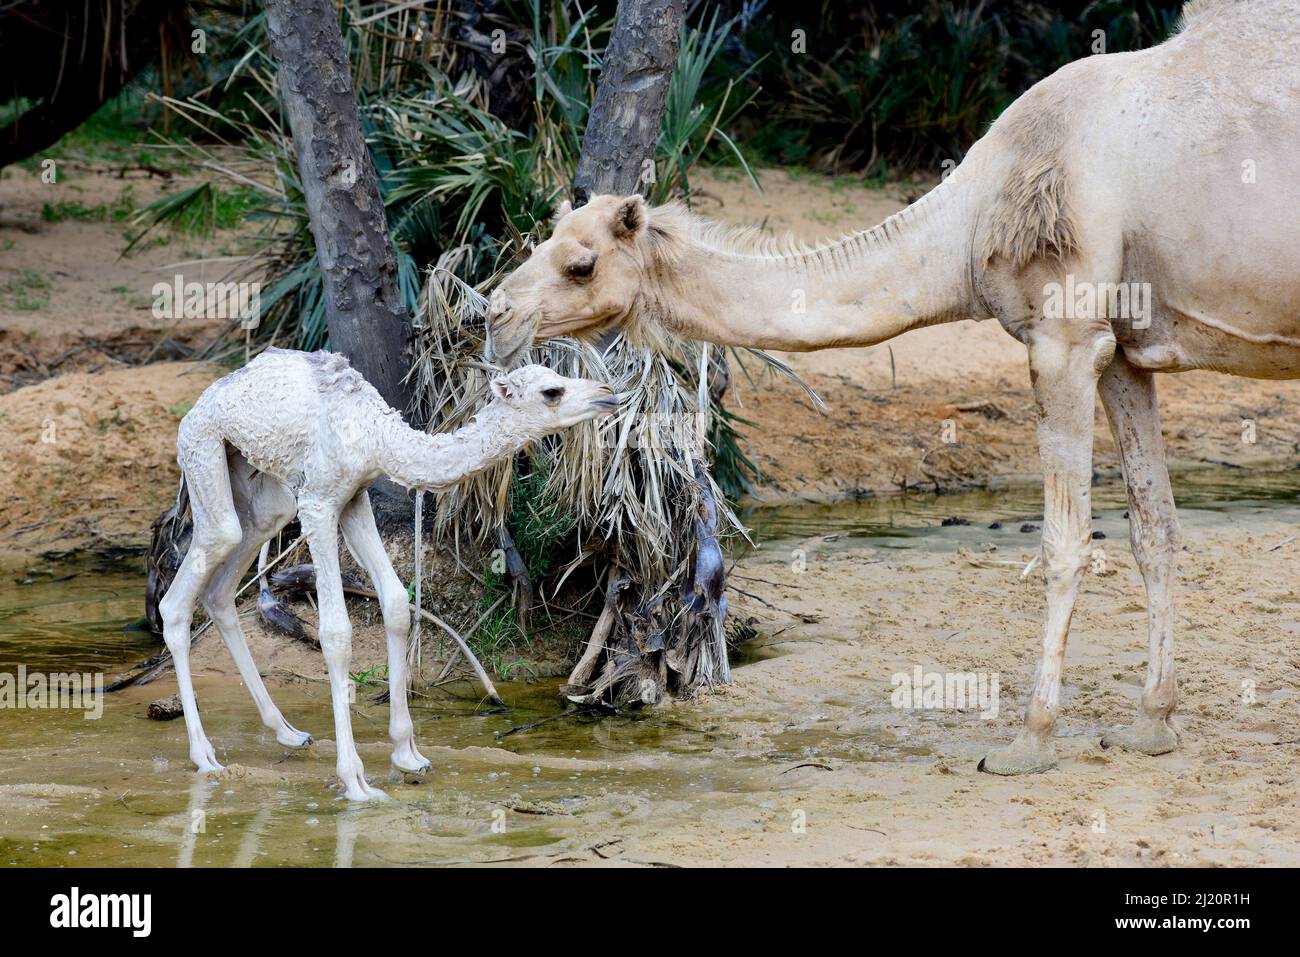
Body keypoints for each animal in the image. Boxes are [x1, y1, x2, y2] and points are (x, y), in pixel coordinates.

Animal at [160, 348, 616, 800]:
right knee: (183, 590)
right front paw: (356, 781)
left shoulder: (354, 496)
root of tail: (198, 406)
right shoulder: (319, 502)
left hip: (265, 495)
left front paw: (408, 756)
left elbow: (396, 603)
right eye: (552, 391)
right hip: (204, 452)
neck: (375, 436)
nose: (608, 394)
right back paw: (205, 757)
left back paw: (288, 733)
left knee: (222, 588)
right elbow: (335, 632)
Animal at [484, 0, 1300, 775]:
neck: (970, 221)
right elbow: (1153, 527)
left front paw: (1026, 742)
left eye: (581, 264)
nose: (493, 312)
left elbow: (1065, 541)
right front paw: (1151, 726)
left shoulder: (1064, 339)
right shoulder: (1125, 352)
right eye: (544, 240)